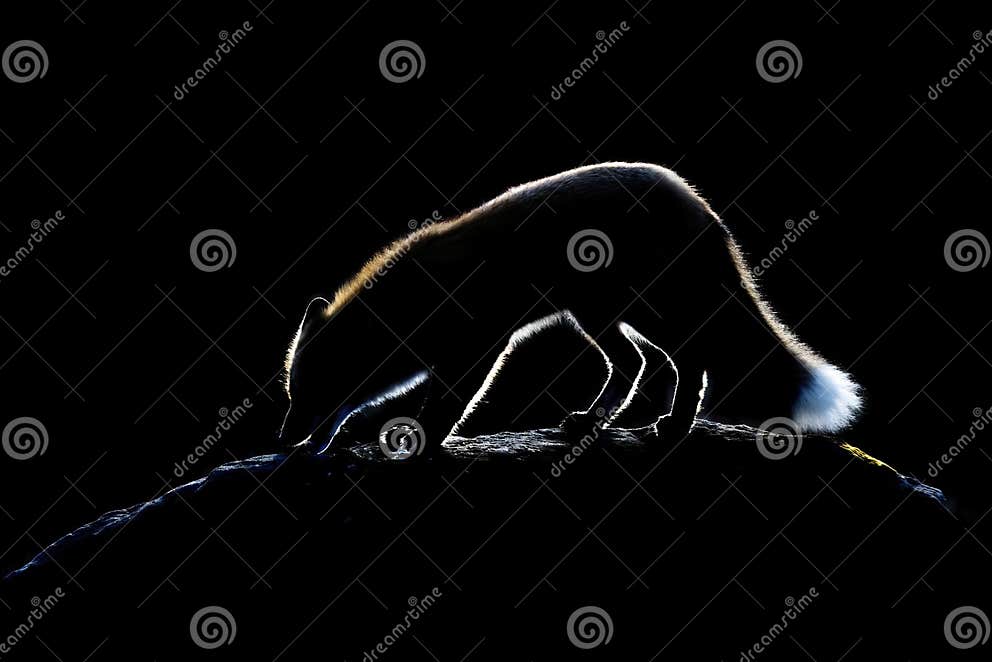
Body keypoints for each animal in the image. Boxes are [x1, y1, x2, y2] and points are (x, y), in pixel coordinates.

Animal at [279, 162, 862, 455]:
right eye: (292, 392)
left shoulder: (482, 347)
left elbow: (448, 406)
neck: (413, 300)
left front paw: (419, 445)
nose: (285, 438)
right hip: (598, 314)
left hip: (638, 311)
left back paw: (673, 426)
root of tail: (705, 210)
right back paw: (598, 423)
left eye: (312, 389)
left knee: (682, 362)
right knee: (640, 363)